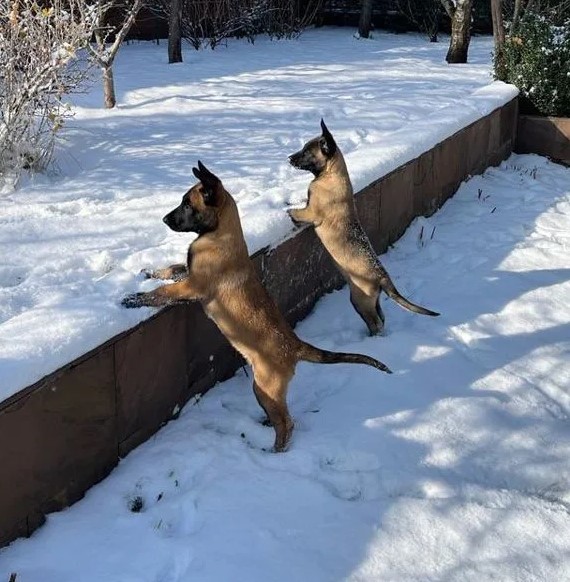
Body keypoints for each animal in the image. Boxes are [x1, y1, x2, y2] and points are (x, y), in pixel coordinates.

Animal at [122, 162, 390, 454]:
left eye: (187, 204)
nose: (164, 220)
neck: (220, 233)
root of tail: (295, 345)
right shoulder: (189, 274)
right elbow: (172, 268)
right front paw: (150, 272)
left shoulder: (193, 286)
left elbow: (162, 293)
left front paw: (135, 299)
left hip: (264, 387)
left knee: (286, 423)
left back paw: (275, 450)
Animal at [286, 120, 438, 338]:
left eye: (307, 151)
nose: (289, 158)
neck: (332, 173)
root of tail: (383, 276)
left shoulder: (313, 212)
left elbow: (300, 212)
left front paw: (290, 212)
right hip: (371, 301)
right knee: (381, 317)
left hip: (360, 300)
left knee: (376, 323)